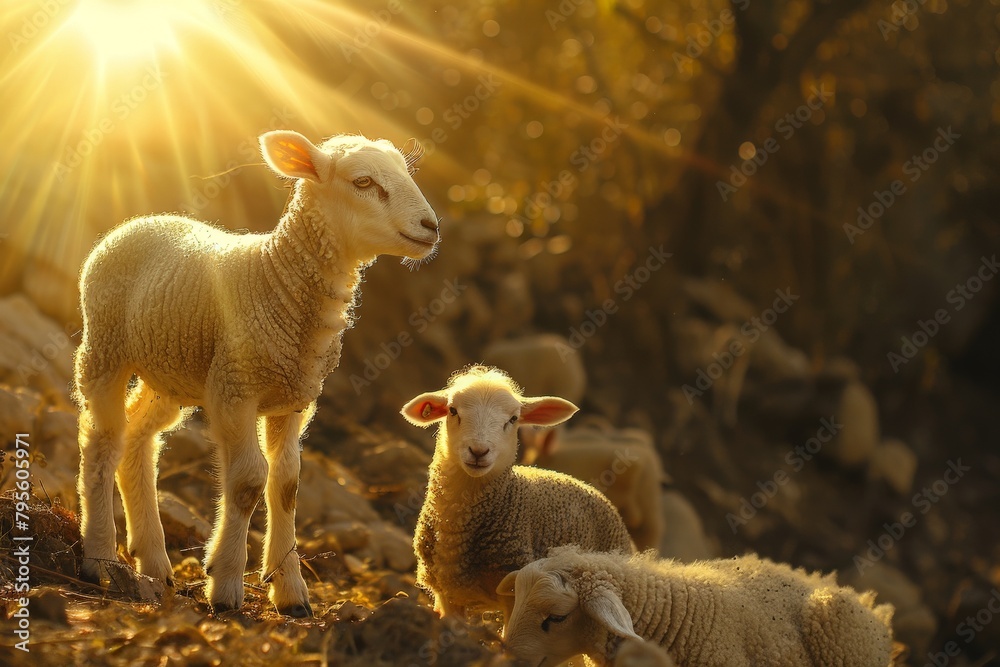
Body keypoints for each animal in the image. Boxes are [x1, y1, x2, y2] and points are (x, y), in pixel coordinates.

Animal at [74, 130, 438, 617]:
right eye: (363, 182)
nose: (431, 227)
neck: (276, 279)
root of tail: (138, 221)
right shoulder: (235, 387)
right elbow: (248, 481)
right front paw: (225, 583)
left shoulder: (294, 400)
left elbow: (286, 484)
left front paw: (291, 593)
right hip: (105, 346)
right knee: (101, 442)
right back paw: (98, 556)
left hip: (170, 372)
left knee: (138, 440)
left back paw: (152, 560)